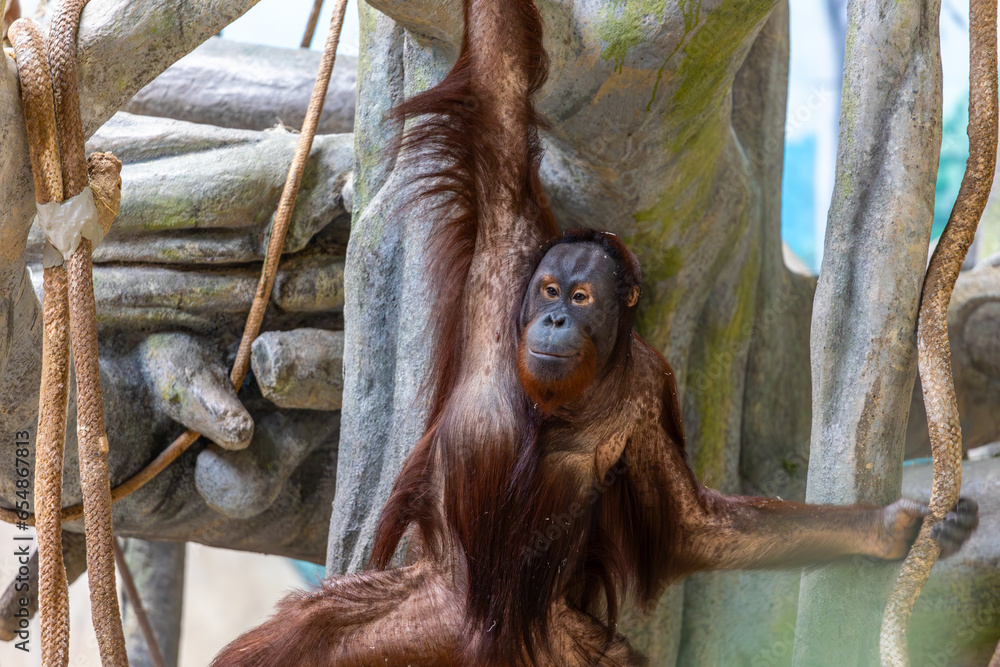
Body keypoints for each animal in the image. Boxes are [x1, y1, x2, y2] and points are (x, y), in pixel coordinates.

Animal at [212, 0, 979, 664]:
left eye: (582, 299)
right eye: (551, 290)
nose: (554, 318)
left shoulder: (645, 388)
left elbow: (694, 527)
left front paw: (890, 527)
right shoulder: (506, 257)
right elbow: (500, 86)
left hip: (549, 641)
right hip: (415, 618)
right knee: (297, 642)